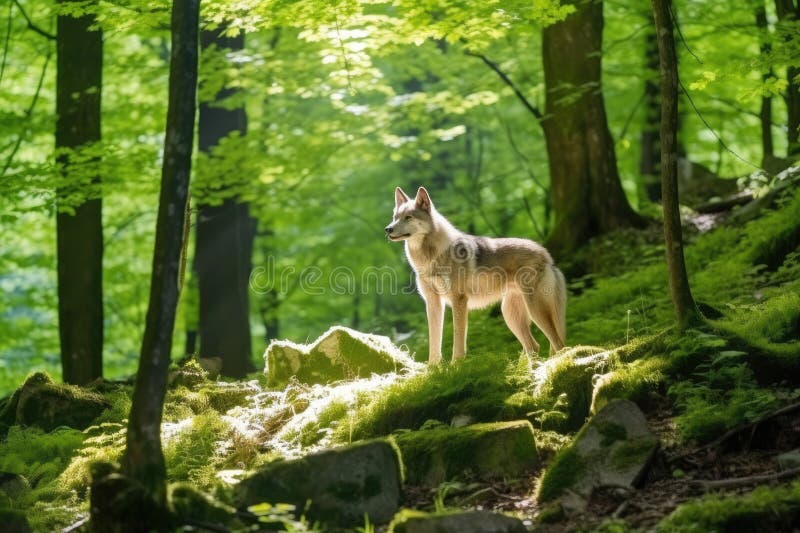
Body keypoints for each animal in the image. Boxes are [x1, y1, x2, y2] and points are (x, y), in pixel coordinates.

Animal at [385, 186, 566, 364]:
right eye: (395, 217)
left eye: (408, 217)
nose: (388, 229)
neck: (431, 257)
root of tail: (546, 255)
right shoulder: (433, 302)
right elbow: (434, 342)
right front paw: (433, 368)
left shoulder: (458, 300)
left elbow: (458, 339)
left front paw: (456, 366)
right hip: (510, 315)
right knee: (534, 347)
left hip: (535, 311)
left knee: (559, 344)